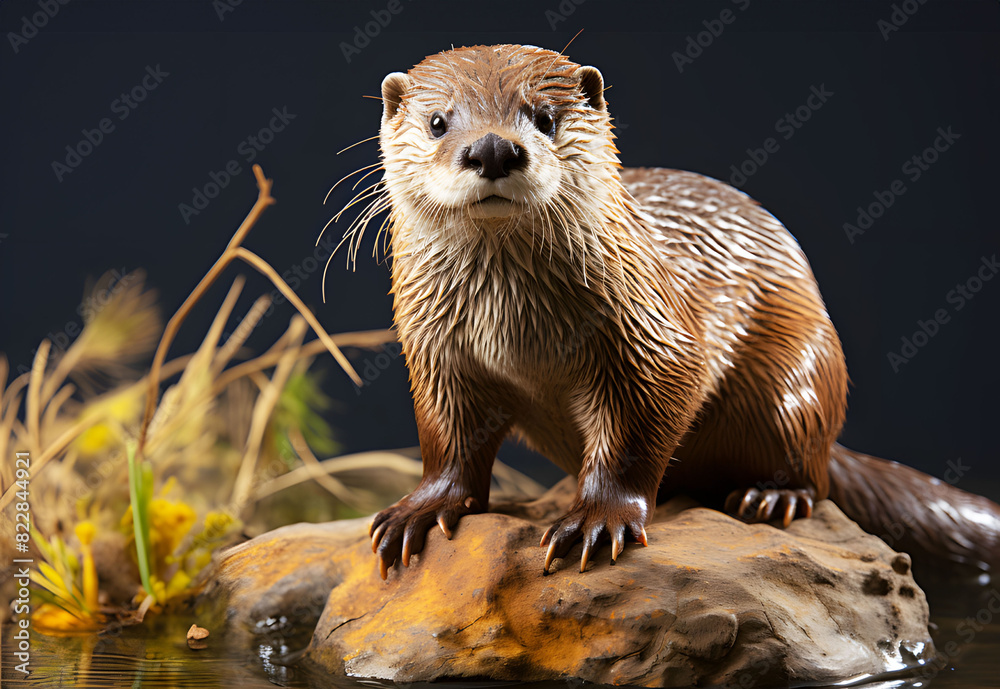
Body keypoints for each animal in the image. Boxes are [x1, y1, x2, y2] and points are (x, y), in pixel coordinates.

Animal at [345, 44, 1000, 579]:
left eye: (544, 118)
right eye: (438, 122)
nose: (491, 149)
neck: (515, 329)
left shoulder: (649, 338)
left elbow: (644, 422)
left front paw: (596, 519)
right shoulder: (437, 352)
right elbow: (446, 438)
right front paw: (421, 509)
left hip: (800, 374)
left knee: (811, 469)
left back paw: (770, 498)